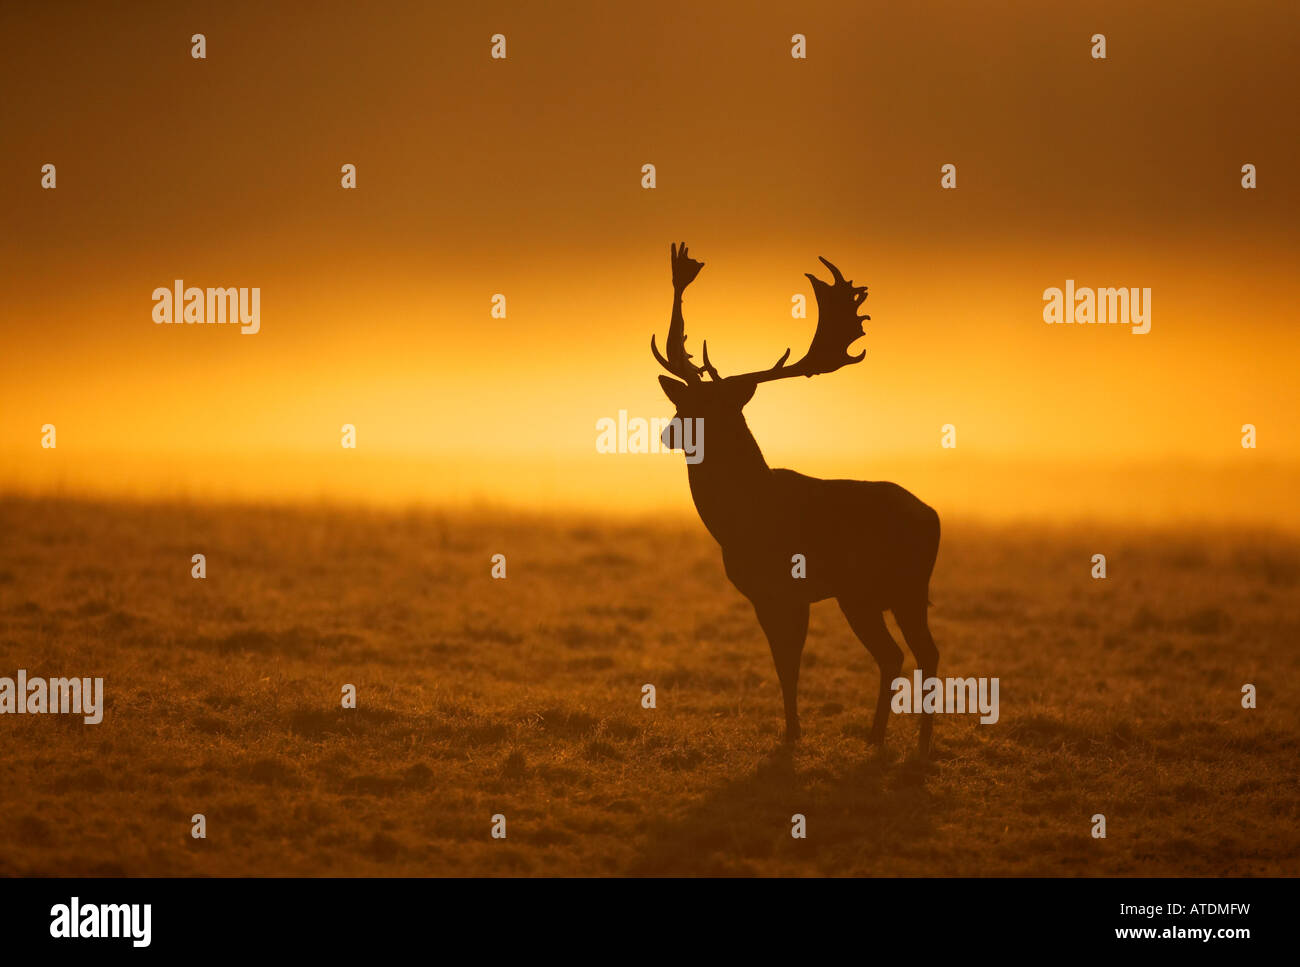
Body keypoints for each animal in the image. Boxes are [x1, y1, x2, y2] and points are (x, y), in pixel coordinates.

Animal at [652, 242, 942, 758]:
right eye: (683, 403)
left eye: (719, 408)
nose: (669, 434)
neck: (740, 518)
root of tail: (936, 519)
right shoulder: (762, 595)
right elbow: (781, 662)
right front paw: (792, 732)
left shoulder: (791, 588)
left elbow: (790, 663)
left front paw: (790, 736)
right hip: (871, 594)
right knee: (899, 654)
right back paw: (879, 737)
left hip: (897, 588)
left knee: (920, 652)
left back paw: (918, 743)